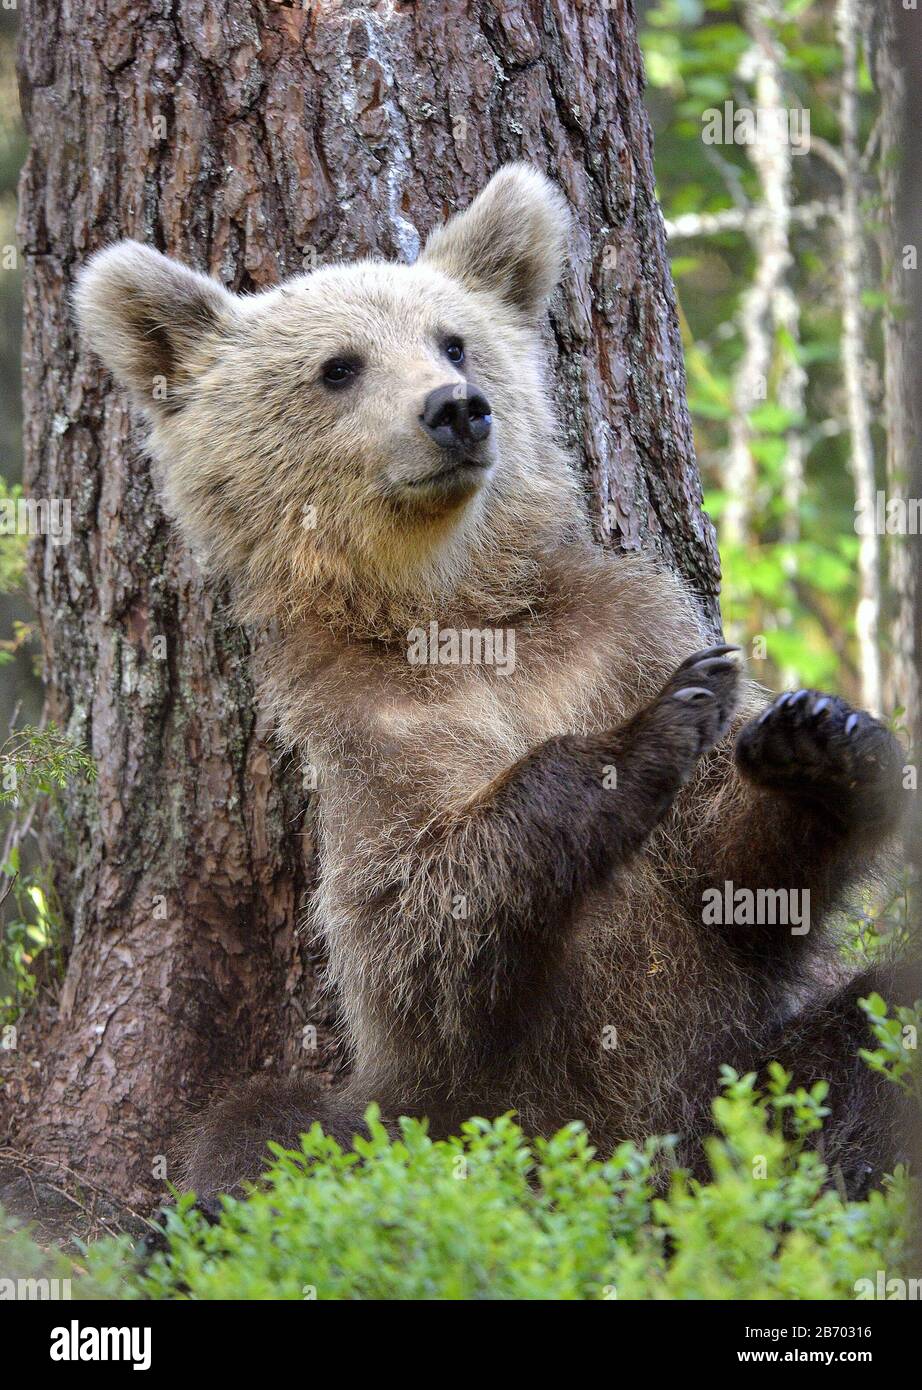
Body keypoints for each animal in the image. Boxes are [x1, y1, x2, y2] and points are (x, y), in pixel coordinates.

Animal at [74, 164, 913, 1200]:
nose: (455, 407)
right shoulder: (360, 726)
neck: (457, 611)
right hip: (423, 1120)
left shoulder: (621, 630)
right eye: (340, 366)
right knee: (257, 1137)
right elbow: (416, 921)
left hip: (743, 1078)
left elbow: (730, 871)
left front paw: (816, 738)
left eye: (454, 338)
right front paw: (644, 736)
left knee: (879, 1030)